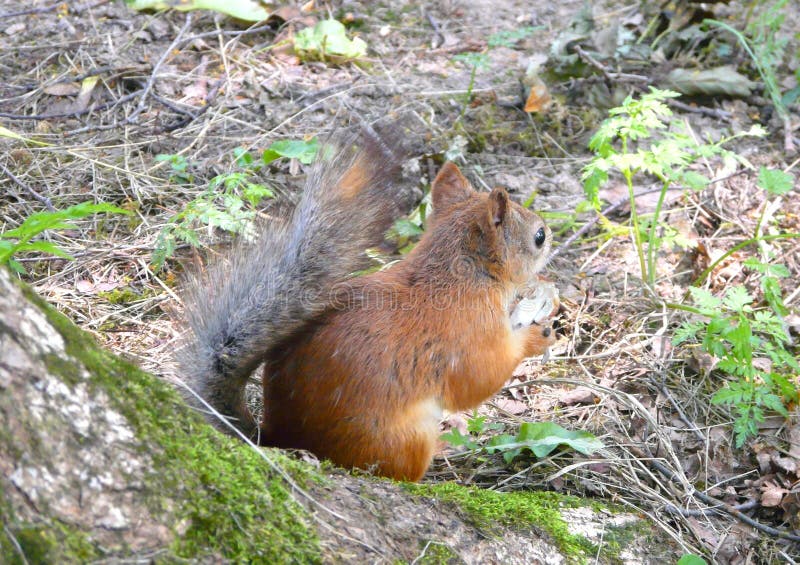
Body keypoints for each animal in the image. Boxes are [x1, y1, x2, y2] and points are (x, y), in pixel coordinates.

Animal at [178, 126, 558, 481]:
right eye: (538, 237)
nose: (551, 234)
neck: (461, 274)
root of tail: (279, 440)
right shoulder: (469, 333)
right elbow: (479, 380)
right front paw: (538, 336)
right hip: (405, 438)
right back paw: (440, 450)